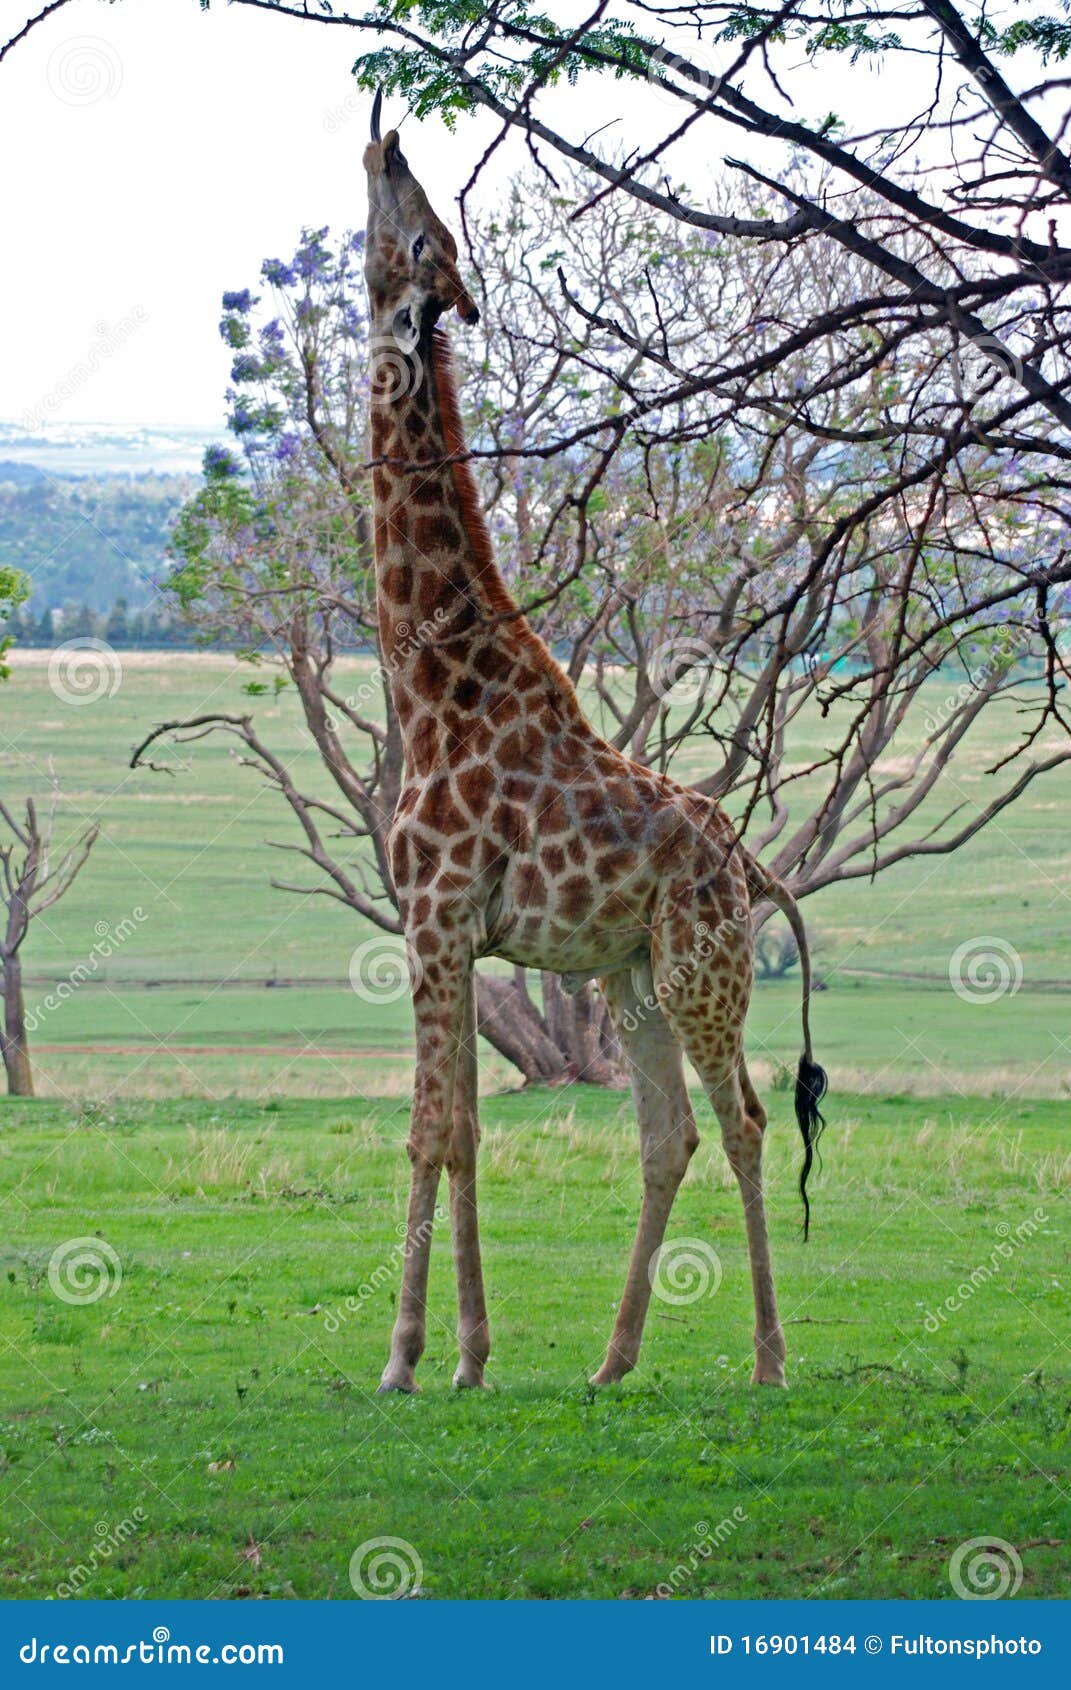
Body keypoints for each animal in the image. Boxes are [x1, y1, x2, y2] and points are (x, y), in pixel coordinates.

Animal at [363, 99, 827, 1394]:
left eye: (412, 226)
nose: (386, 134)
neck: (431, 684)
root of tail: (751, 864)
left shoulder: (435, 918)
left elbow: (431, 1127)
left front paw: (408, 1358)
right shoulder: (455, 933)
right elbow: (464, 1127)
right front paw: (472, 1354)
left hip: (701, 965)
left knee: (745, 1121)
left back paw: (770, 1359)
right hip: (634, 978)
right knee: (669, 1135)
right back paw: (612, 1359)